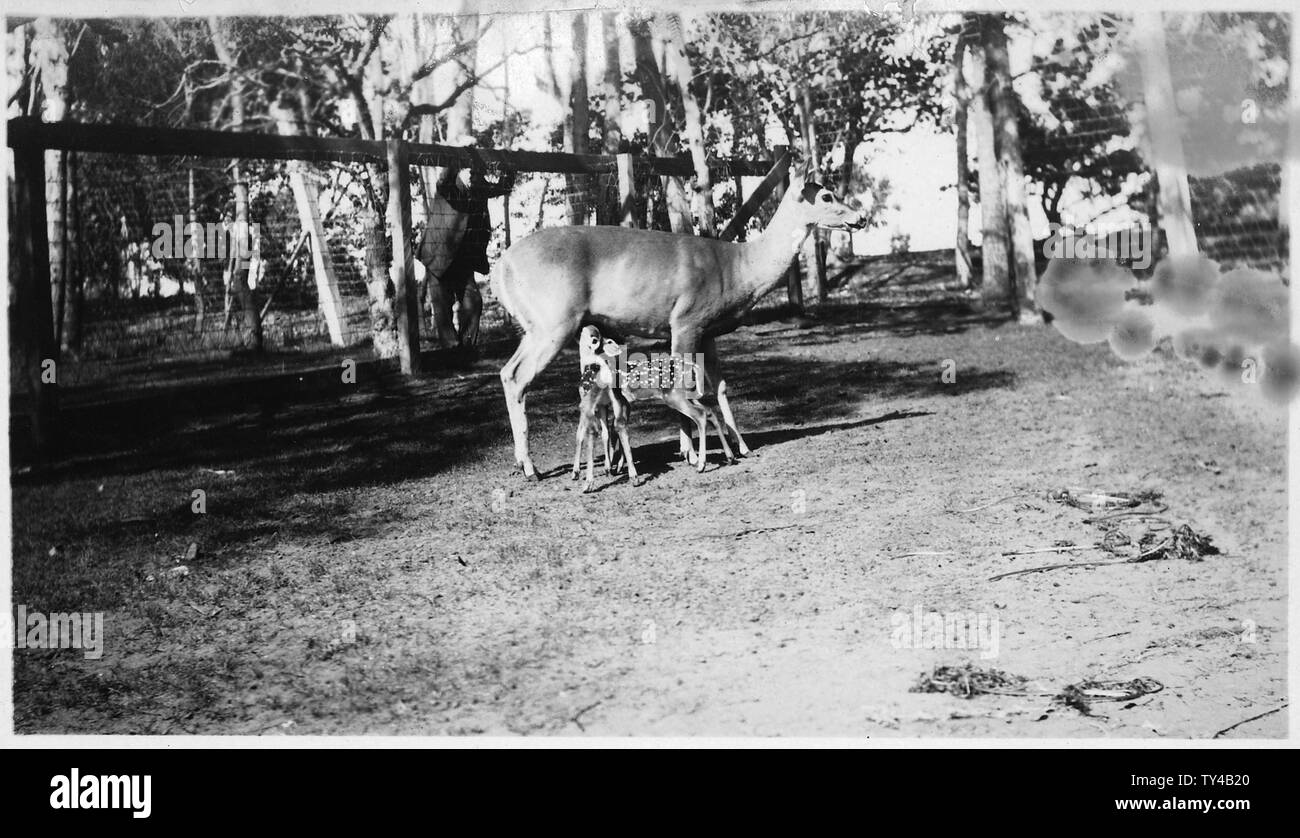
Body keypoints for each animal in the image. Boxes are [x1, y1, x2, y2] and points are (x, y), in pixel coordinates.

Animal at [493, 163, 867, 481]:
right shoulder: (686, 319)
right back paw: (530, 468)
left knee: (507, 371)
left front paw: (741, 446)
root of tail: (501, 267)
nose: (861, 216)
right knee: (518, 378)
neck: (739, 269)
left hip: (535, 326)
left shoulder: (708, 330)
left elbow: (719, 386)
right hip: (554, 320)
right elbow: (688, 383)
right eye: (827, 196)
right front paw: (691, 452)